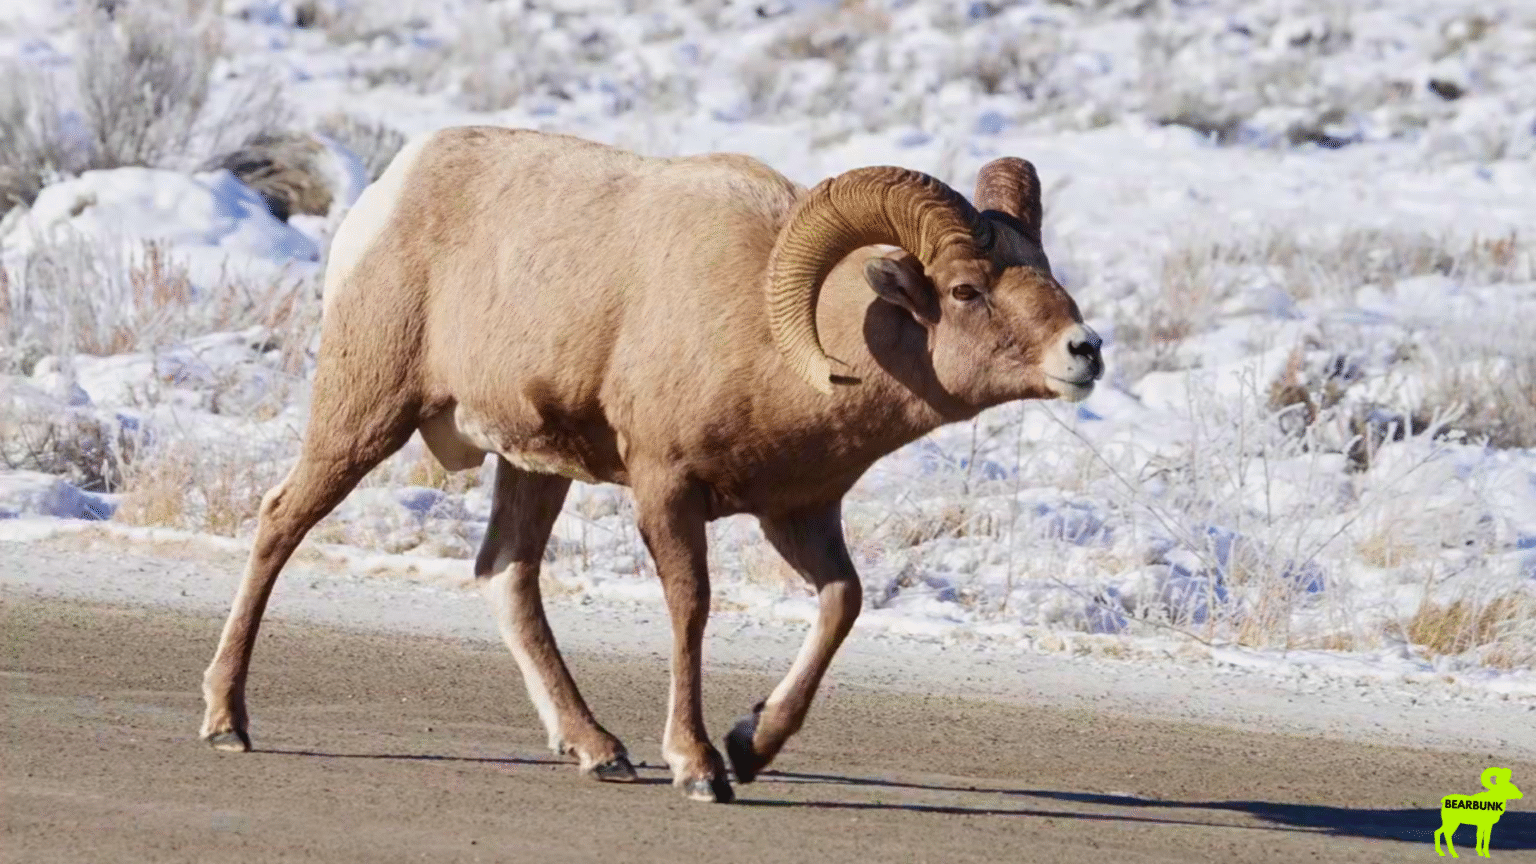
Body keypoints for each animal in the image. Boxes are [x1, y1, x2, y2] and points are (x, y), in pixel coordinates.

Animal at [198, 126, 1104, 803]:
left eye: (1046, 274)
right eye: (965, 291)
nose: (1085, 351)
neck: (774, 338)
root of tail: (385, 196)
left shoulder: (798, 513)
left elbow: (843, 604)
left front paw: (750, 746)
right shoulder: (667, 489)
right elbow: (691, 609)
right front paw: (700, 767)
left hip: (534, 467)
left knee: (507, 574)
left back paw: (597, 749)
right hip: (365, 417)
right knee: (281, 523)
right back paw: (227, 722)